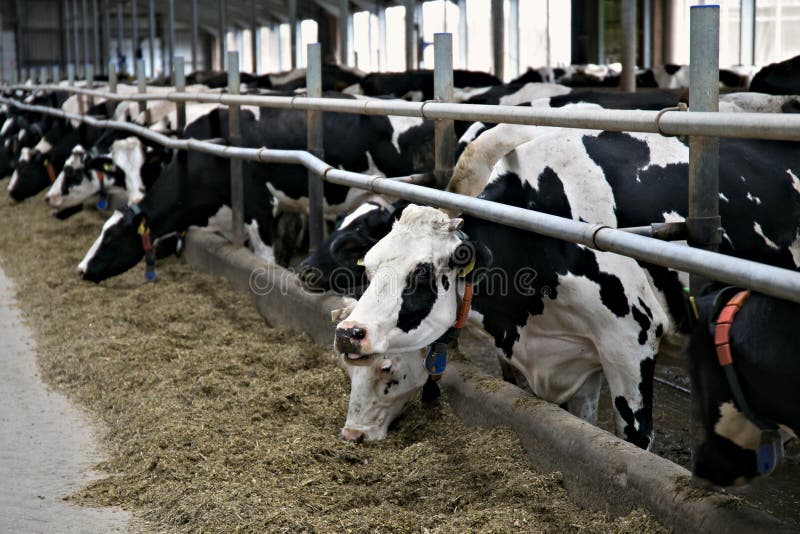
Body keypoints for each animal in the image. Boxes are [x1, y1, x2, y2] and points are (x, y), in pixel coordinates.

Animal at [331, 115, 800, 449]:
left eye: (421, 273)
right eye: (369, 267)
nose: (348, 334)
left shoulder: (630, 343)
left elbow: (633, 437)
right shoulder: (574, 350)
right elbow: (582, 422)